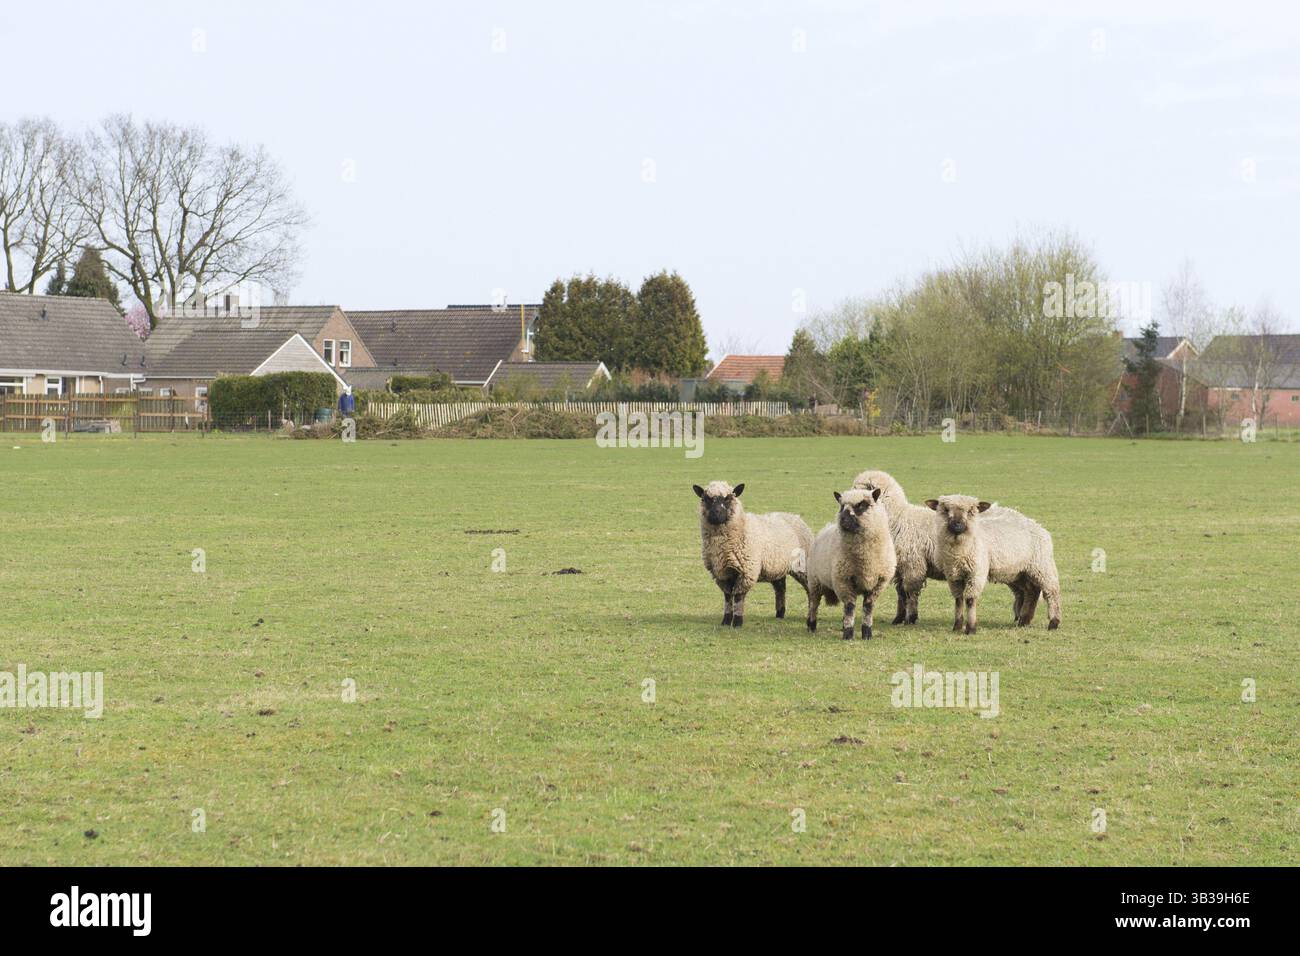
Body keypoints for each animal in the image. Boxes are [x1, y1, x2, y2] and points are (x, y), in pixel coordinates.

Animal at [693, 481, 813, 628]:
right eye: (706, 498)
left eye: (728, 498)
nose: (716, 514)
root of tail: (795, 516)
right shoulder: (721, 572)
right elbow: (728, 596)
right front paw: (726, 620)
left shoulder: (746, 570)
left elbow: (738, 596)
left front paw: (737, 622)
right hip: (777, 566)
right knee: (780, 588)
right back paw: (780, 614)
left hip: (803, 565)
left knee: (809, 589)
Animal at [806, 487, 897, 640]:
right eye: (842, 506)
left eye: (862, 505)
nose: (842, 519)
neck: (866, 560)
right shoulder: (843, 580)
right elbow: (849, 607)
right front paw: (848, 634)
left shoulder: (878, 583)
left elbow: (868, 607)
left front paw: (867, 633)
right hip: (814, 581)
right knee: (814, 604)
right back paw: (811, 625)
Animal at [925, 494, 1061, 634]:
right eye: (946, 510)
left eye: (971, 511)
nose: (957, 525)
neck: (958, 552)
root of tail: (1038, 526)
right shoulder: (953, 575)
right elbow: (958, 600)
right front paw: (957, 626)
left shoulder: (977, 573)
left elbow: (970, 599)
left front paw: (971, 628)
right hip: (1020, 572)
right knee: (1031, 592)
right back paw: (1024, 621)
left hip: (1042, 565)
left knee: (1052, 591)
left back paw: (1053, 622)